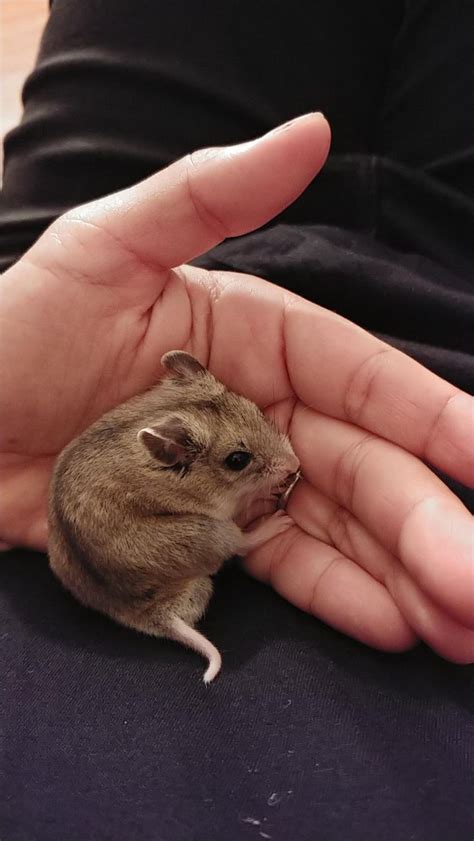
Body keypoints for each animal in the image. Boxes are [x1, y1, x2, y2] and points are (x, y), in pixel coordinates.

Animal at [48, 351, 300, 682]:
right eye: (237, 460)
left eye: (256, 409)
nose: (296, 464)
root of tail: (151, 613)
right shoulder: (219, 508)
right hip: (207, 531)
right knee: (240, 543)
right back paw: (279, 522)